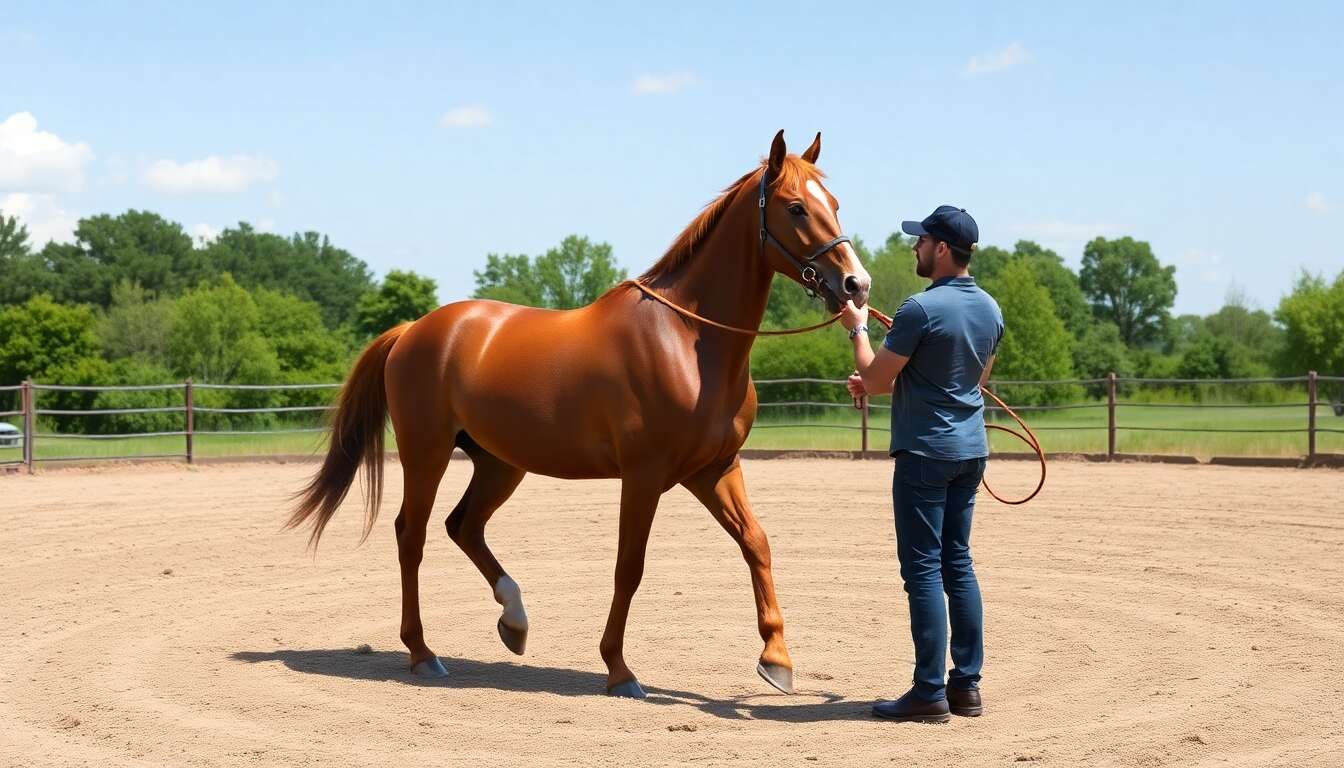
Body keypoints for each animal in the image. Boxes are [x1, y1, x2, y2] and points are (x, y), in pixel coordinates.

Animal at [287, 130, 872, 699]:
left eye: (835, 204)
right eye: (795, 207)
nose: (856, 285)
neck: (687, 340)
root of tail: (413, 329)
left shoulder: (714, 469)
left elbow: (757, 543)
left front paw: (777, 659)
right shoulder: (644, 475)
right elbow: (629, 567)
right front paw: (619, 669)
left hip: (500, 463)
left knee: (464, 526)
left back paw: (514, 621)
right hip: (426, 454)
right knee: (413, 536)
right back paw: (423, 653)